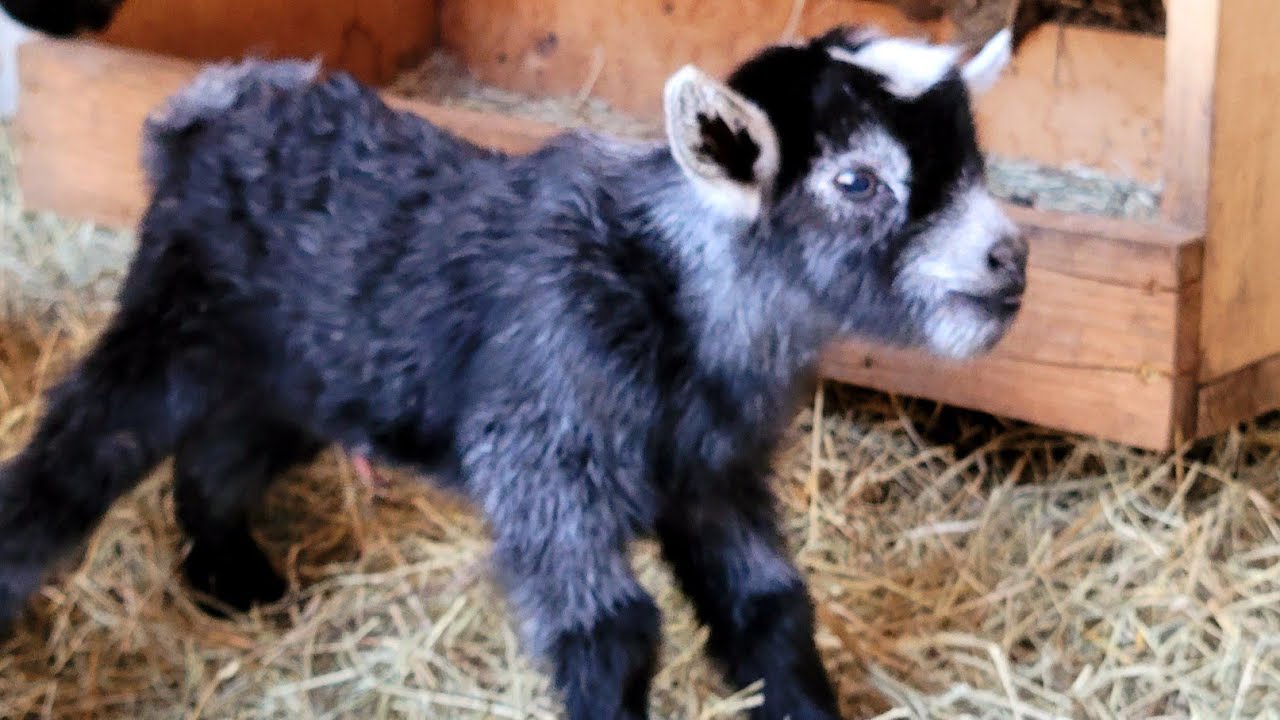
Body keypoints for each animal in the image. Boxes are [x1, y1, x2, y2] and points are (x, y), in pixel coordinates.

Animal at [0, 27, 1022, 719]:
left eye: (972, 159)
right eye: (857, 181)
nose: (1009, 260)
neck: (668, 288)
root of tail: (199, 120)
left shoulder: (713, 477)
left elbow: (768, 605)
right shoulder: (545, 457)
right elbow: (612, 635)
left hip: (301, 374)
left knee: (217, 461)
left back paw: (234, 581)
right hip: (171, 328)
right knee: (74, 462)